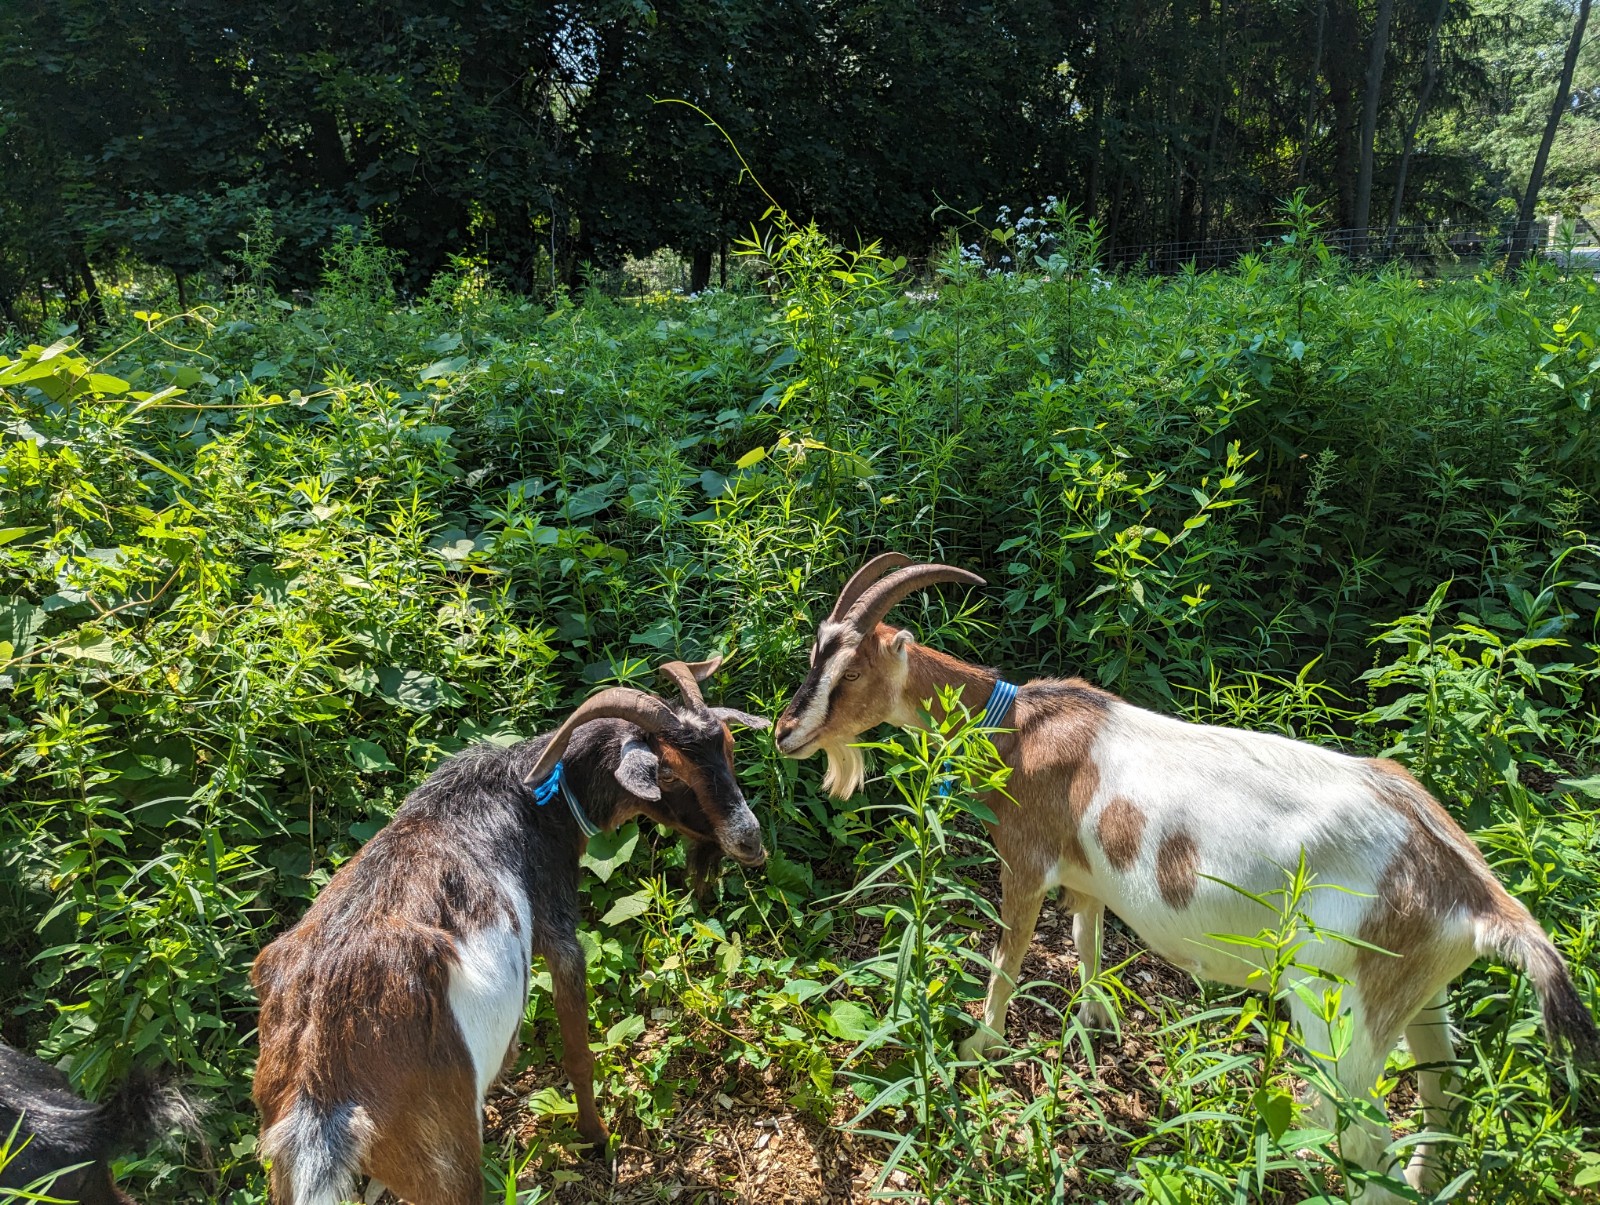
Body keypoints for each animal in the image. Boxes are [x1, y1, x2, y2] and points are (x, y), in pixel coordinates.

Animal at [252, 658, 769, 1205]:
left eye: (728, 748)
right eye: (667, 771)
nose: (750, 841)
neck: (532, 797)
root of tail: (319, 1099)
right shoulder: (558, 928)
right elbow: (578, 1053)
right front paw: (596, 1136)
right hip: (445, 1161)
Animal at [774, 553, 1599, 1202]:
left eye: (848, 669)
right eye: (815, 651)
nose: (785, 731)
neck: (1017, 726)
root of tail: (1471, 889)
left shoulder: (1027, 858)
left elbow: (1009, 955)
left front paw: (979, 1043)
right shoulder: (1089, 876)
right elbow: (1087, 941)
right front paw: (1094, 1023)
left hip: (1339, 1013)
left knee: (1365, 1144)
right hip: (1420, 993)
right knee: (1440, 1093)